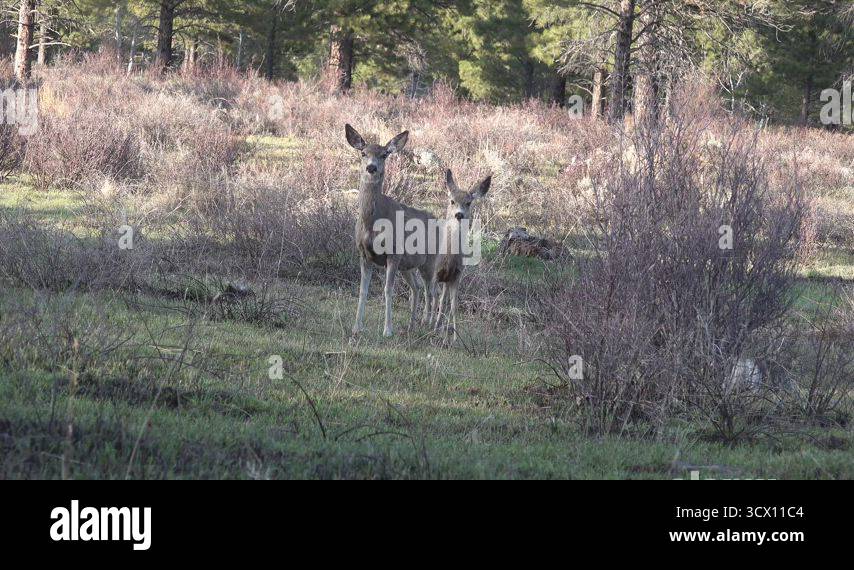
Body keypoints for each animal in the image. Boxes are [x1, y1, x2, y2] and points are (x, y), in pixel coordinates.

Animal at [346, 124, 438, 337]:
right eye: (363, 153)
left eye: (384, 154)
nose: (371, 167)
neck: (372, 224)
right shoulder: (363, 254)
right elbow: (363, 290)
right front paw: (356, 327)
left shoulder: (394, 253)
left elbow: (388, 290)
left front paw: (387, 330)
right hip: (409, 265)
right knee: (417, 288)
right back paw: (413, 323)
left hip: (430, 261)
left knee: (433, 290)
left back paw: (430, 323)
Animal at [434, 169, 491, 344]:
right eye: (452, 201)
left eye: (468, 203)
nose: (459, 215)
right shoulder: (433, 273)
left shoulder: (456, 276)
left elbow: (453, 305)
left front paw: (452, 338)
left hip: (447, 279)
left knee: (443, 300)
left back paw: (438, 327)